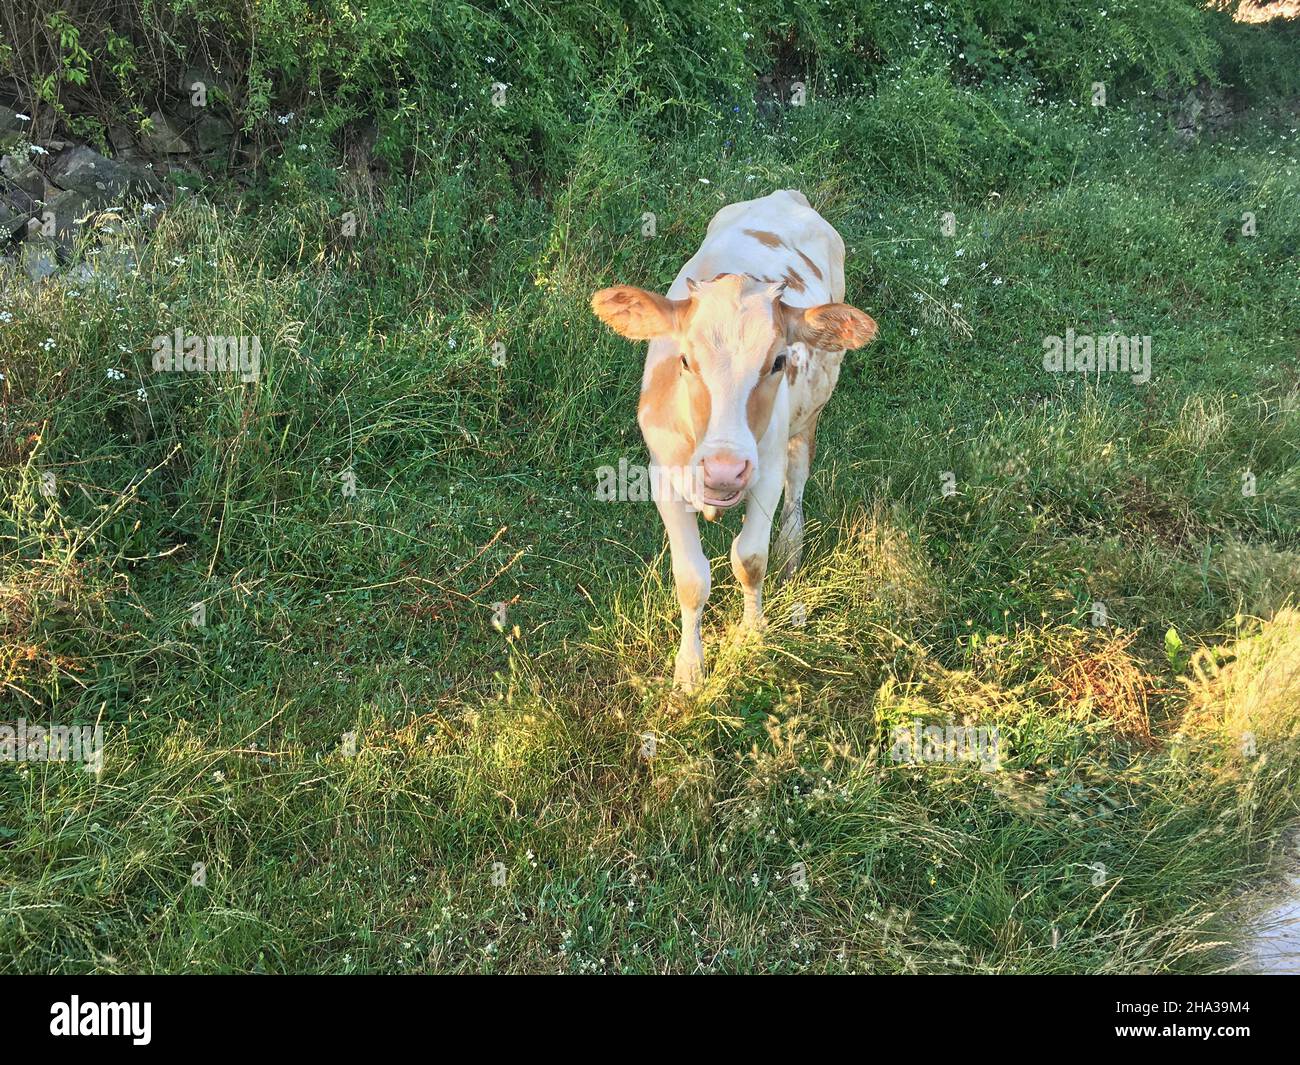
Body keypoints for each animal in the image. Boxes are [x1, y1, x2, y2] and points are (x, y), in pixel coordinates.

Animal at [591, 189, 878, 690]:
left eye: (778, 361)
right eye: (685, 360)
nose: (724, 469)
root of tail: (786, 195)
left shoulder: (764, 472)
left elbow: (750, 558)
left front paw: (753, 634)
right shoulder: (663, 476)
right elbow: (691, 579)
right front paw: (690, 669)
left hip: (808, 417)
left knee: (798, 479)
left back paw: (791, 548)